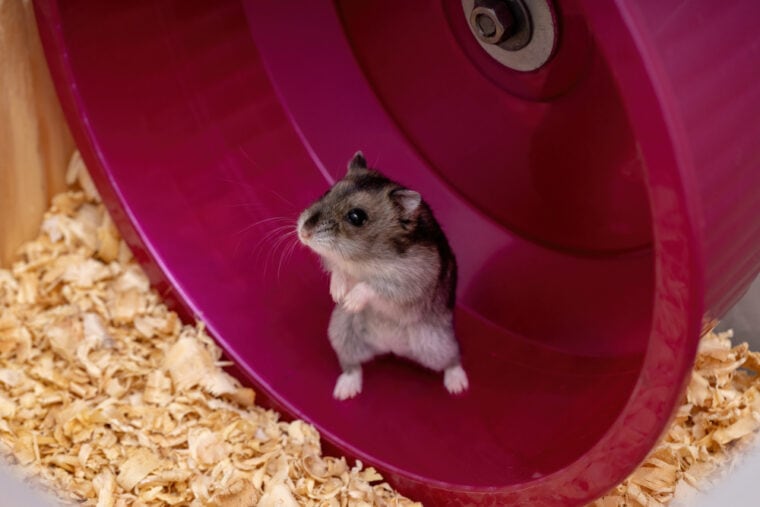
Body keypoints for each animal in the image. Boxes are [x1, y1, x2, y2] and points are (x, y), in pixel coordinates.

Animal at [297, 152, 469, 400]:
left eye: (356, 216)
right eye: (329, 191)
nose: (303, 232)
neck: (363, 258)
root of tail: (391, 348)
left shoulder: (407, 282)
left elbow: (371, 286)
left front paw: (349, 302)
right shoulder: (336, 264)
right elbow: (338, 272)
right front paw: (337, 295)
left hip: (438, 344)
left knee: (453, 360)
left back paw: (458, 387)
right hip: (341, 334)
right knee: (352, 366)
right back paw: (343, 393)